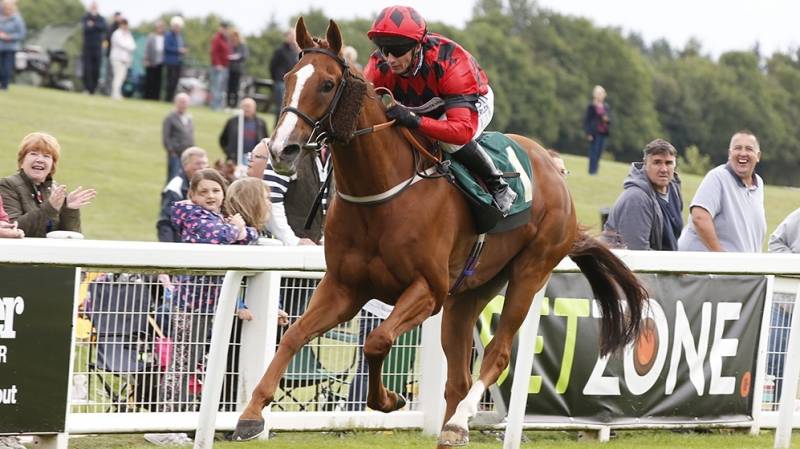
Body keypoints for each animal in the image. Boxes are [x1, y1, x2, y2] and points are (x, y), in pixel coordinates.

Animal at [233, 18, 647, 448]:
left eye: (328, 84)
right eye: (288, 77)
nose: (283, 149)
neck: (380, 194)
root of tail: (555, 169)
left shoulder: (427, 290)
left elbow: (377, 341)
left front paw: (390, 399)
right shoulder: (345, 287)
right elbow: (294, 335)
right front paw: (251, 415)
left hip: (531, 271)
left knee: (497, 354)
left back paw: (459, 422)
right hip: (468, 293)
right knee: (459, 375)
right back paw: (450, 427)